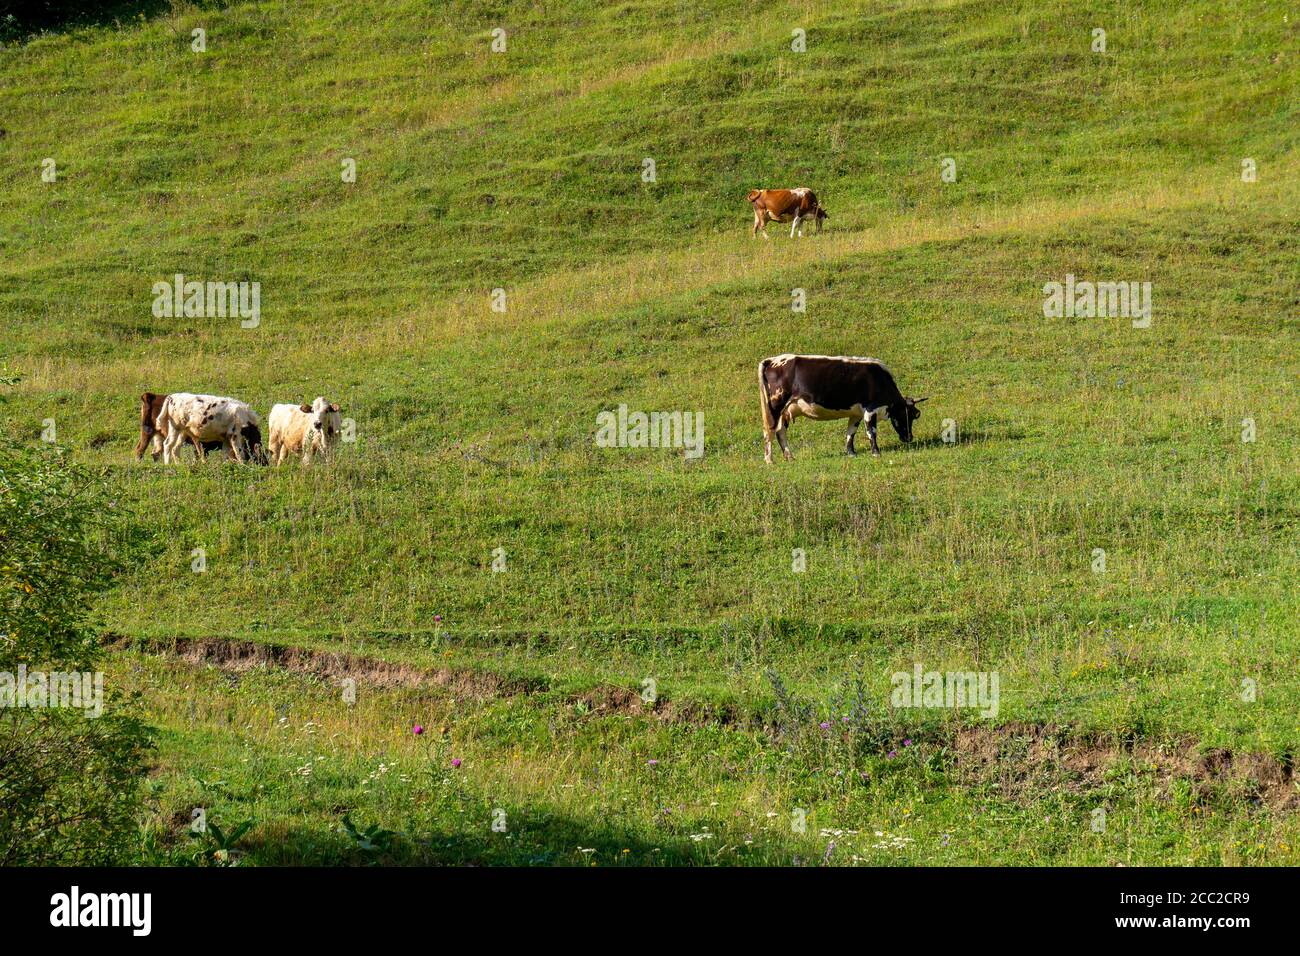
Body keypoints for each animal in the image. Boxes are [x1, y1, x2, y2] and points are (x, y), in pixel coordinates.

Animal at [134, 392, 264, 463]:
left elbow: (228, 454)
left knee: (171, 449)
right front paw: (242, 466)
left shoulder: (226, 439)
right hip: (168, 429)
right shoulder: (235, 435)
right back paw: (168, 465)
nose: (265, 464)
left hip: (180, 432)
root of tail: (171, 397)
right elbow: (239, 453)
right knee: (165, 445)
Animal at [758, 354, 927, 463]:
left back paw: (790, 457)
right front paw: (876, 453)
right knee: (769, 430)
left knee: (780, 432)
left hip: (785, 411)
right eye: (906, 414)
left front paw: (851, 453)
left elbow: (850, 433)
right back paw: (769, 460)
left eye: (913, 416)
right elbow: (871, 432)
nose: (909, 438)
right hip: (775, 406)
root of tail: (772, 360)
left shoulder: (856, 413)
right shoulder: (870, 409)